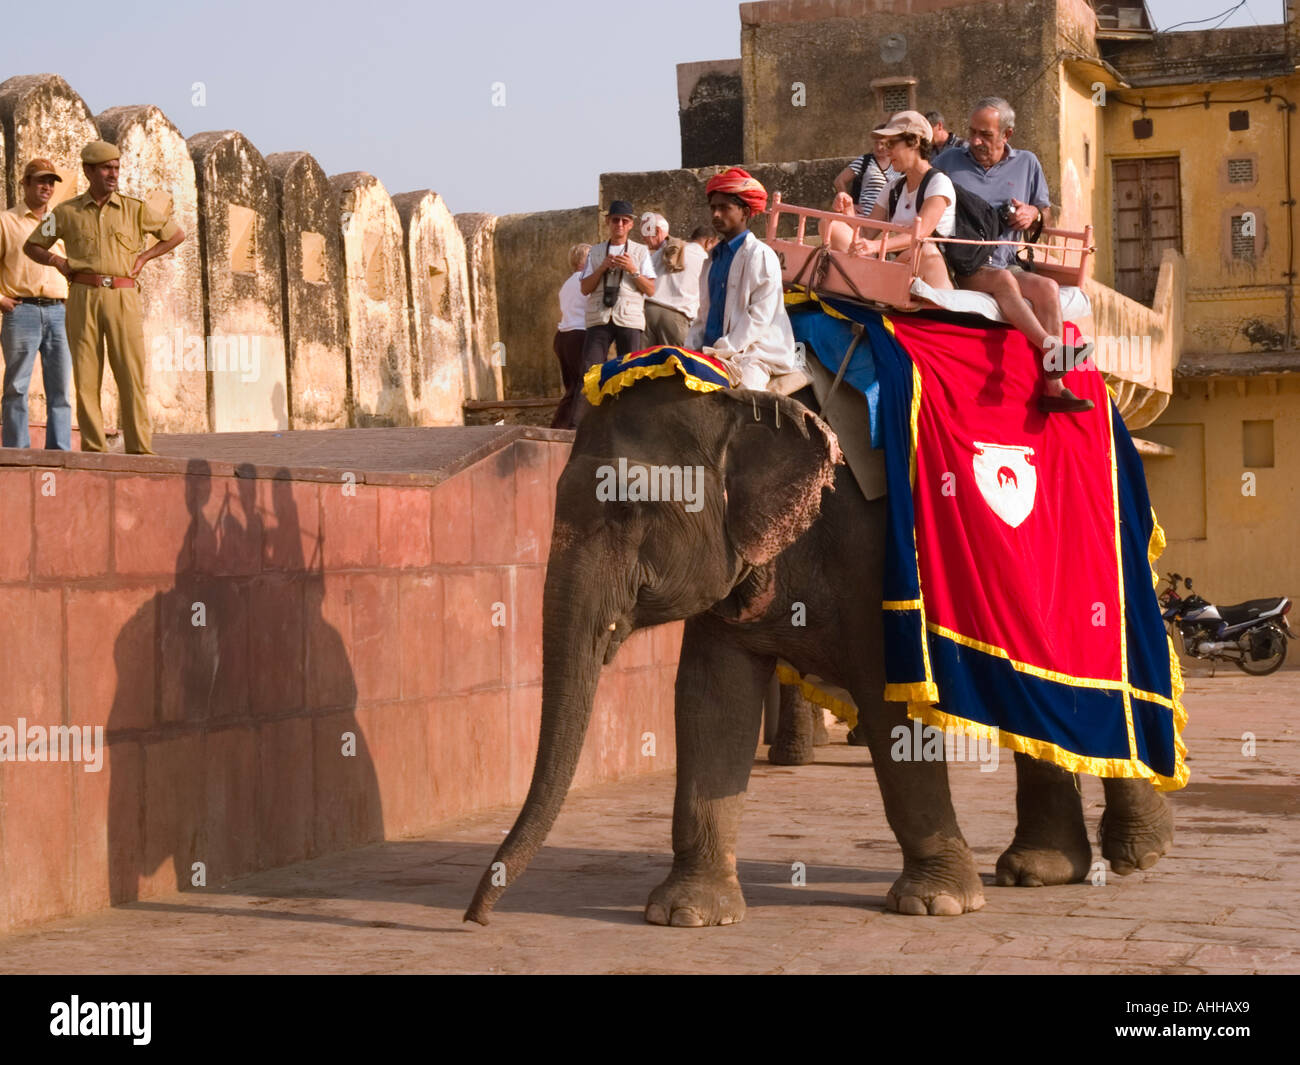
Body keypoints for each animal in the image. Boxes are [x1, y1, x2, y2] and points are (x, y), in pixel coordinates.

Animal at [465, 377, 1174, 926]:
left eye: (628, 510)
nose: (475, 918)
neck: (747, 404)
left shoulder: (875, 559)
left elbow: (894, 710)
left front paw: (935, 905)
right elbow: (708, 700)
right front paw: (685, 914)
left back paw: (1138, 855)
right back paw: (1040, 870)